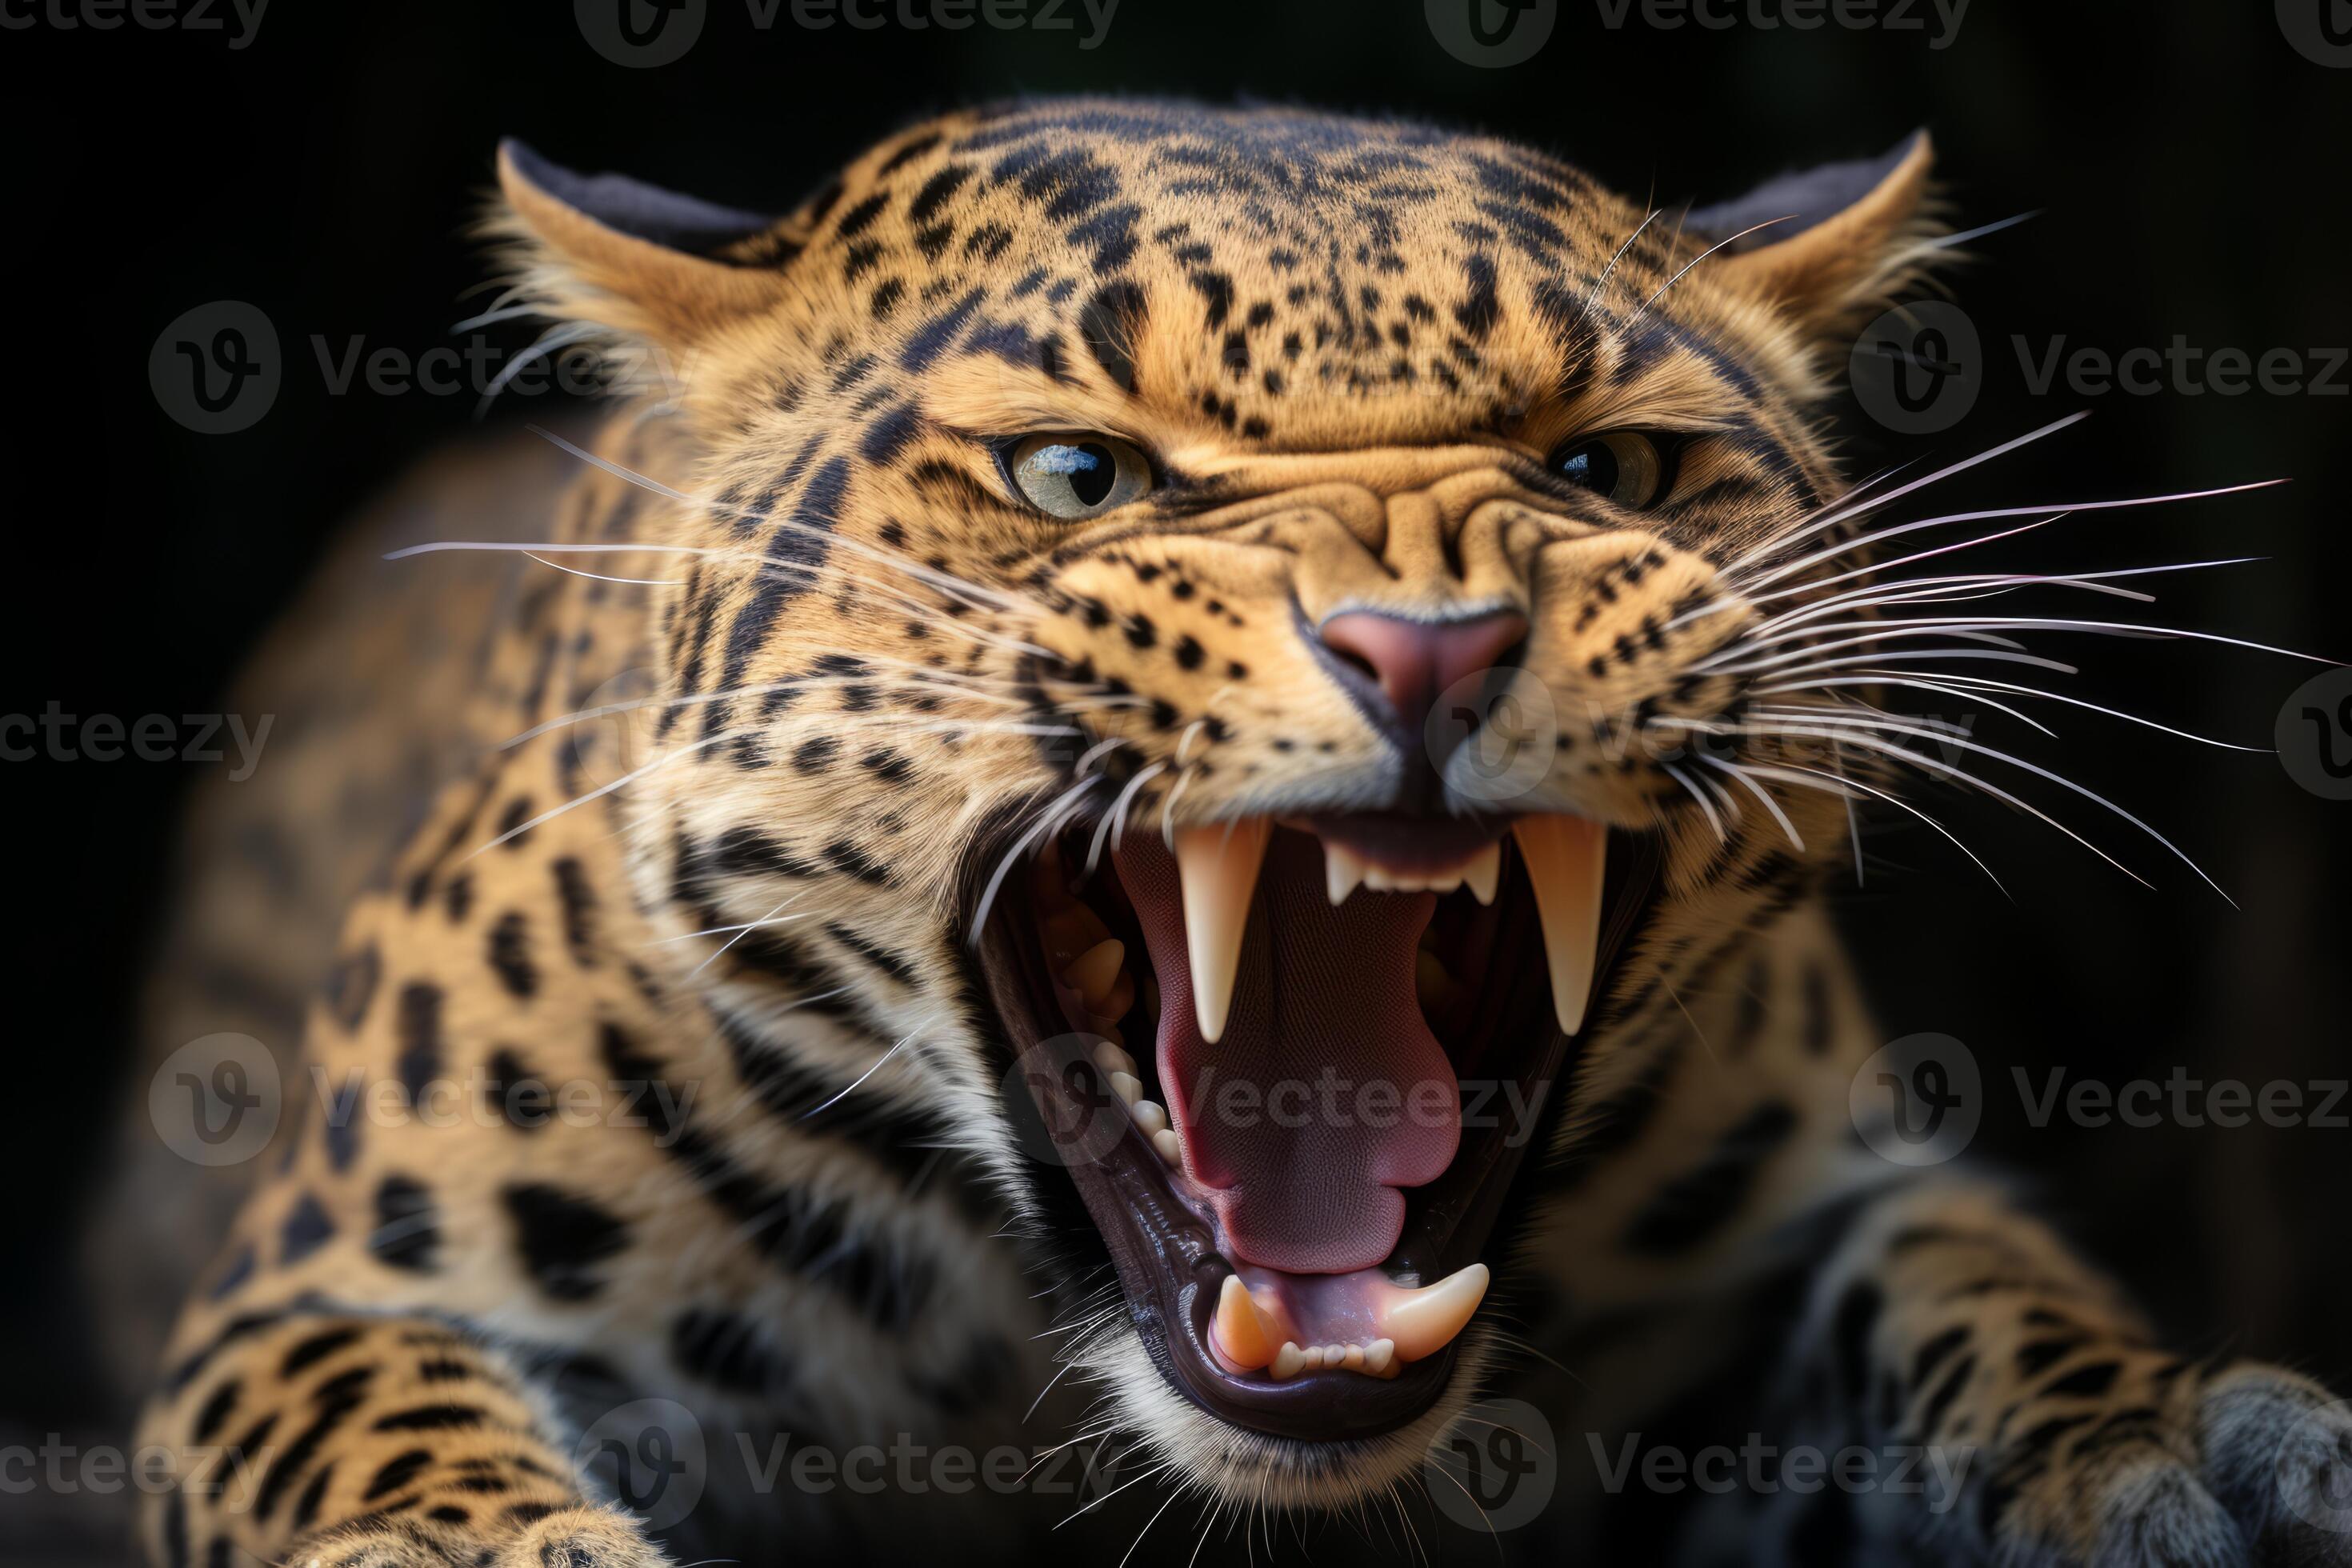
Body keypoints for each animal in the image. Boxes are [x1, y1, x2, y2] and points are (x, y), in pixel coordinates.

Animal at [114, 99, 2352, 1567]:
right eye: (1076, 473)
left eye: (1610, 470)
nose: (1428, 646)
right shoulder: (321, 1292)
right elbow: (381, 1433)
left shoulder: (1801, 1219)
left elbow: (1984, 1277)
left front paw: (2168, 1437)